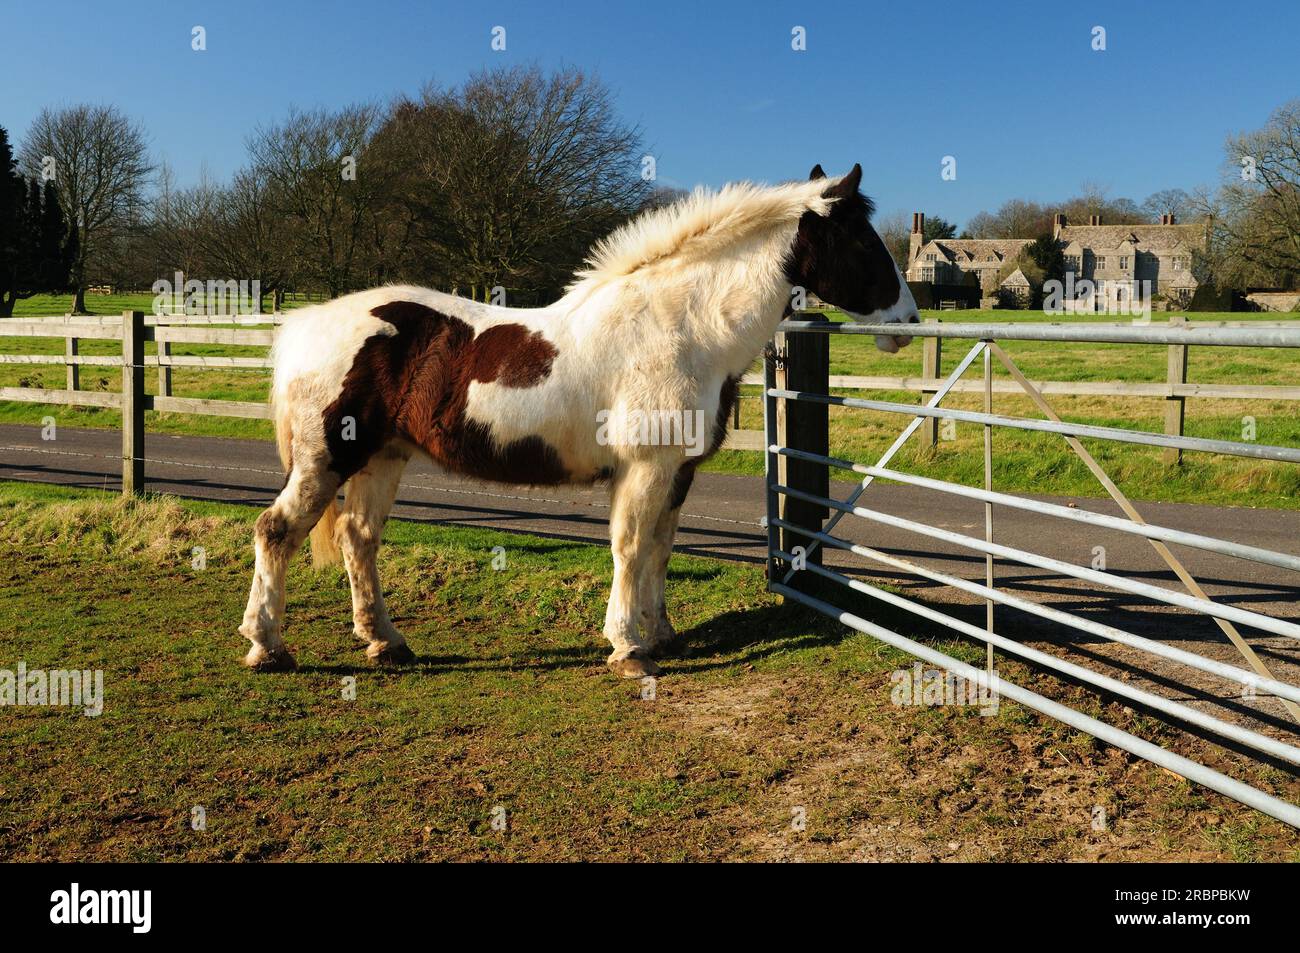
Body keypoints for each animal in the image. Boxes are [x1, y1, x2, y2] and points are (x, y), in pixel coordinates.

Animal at [239, 163, 918, 678]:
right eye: (864, 242)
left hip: (382, 457)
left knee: (359, 537)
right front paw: (628, 648)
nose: (909, 323)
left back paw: (385, 640)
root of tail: (305, 324)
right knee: (276, 531)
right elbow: (630, 547)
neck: (682, 326)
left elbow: (661, 548)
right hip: (327, 459)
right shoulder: (643, 469)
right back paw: (267, 646)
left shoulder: (677, 472)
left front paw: (660, 632)